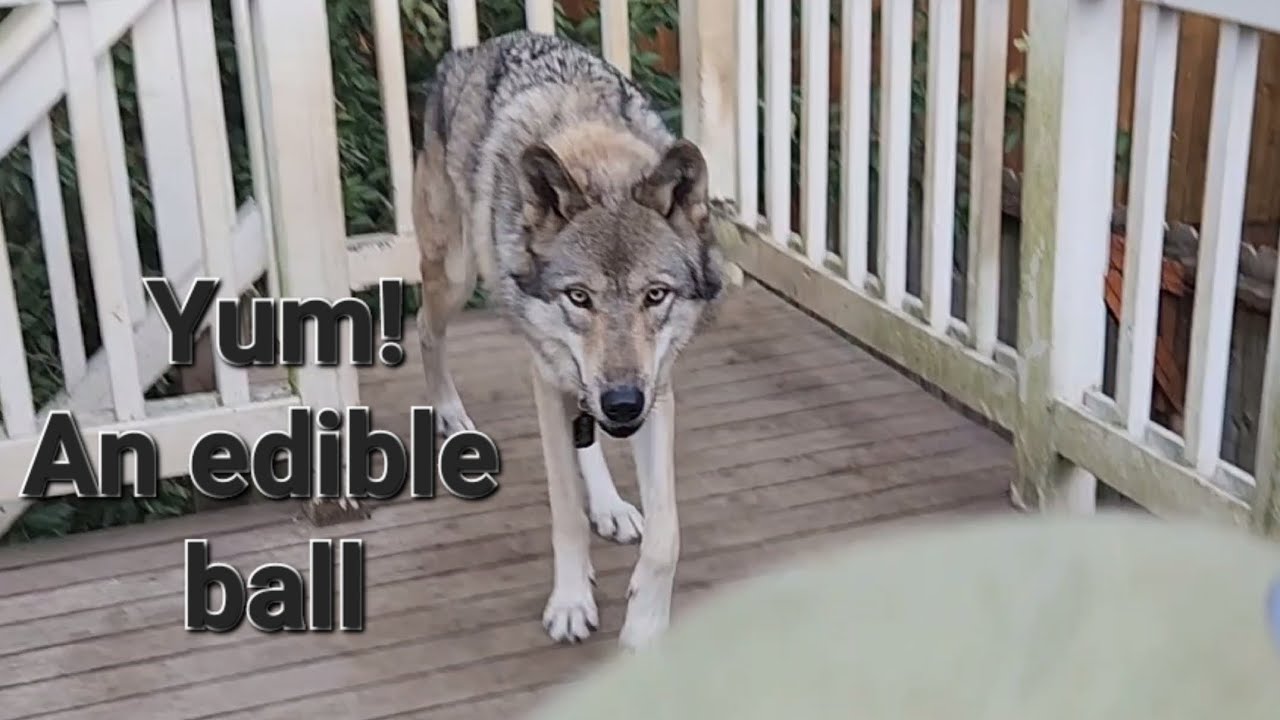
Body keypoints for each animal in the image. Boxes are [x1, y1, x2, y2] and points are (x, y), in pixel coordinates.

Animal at [411, 30, 728, 651]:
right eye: (578, 297)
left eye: (656, 295)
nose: (623, 403)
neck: (594, 150)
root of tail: (471, 49)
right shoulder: (547, 374)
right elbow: (564, 512)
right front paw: (571, 602)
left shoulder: (657, 391)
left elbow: (667, 535)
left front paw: (645, 628)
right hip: (455, 277)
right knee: (424, 329)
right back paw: (451, 414)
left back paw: (610, 506)